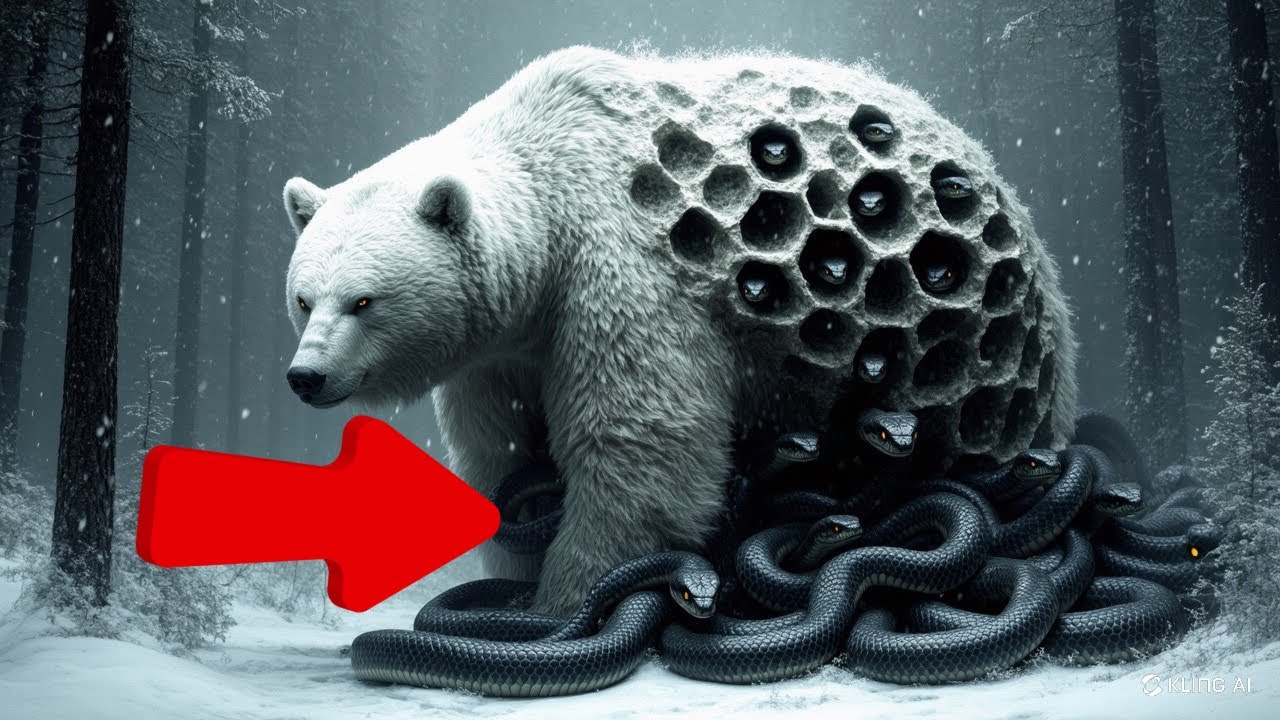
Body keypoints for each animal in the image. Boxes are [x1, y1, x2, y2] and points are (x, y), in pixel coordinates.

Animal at [281, 47, 1078, 614]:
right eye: (302, 299)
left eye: (363, 302)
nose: (305, 376)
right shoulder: (502, 349)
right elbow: (501, 453)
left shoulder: (618, 271)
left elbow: (642, 446)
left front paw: (563, 596)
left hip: (981, 354)